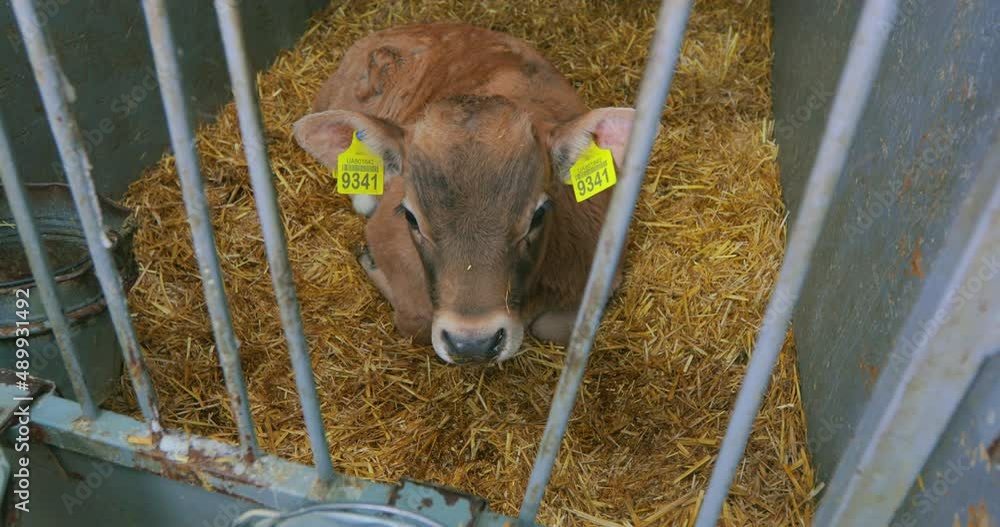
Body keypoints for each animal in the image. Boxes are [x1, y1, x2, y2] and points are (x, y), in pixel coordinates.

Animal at [293, 22, 649, 365]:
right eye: (411, 217)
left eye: (537, 216)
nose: (473, 344)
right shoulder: (384, 234)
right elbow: (416, 319)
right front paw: (370, 262)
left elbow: (559, 327)